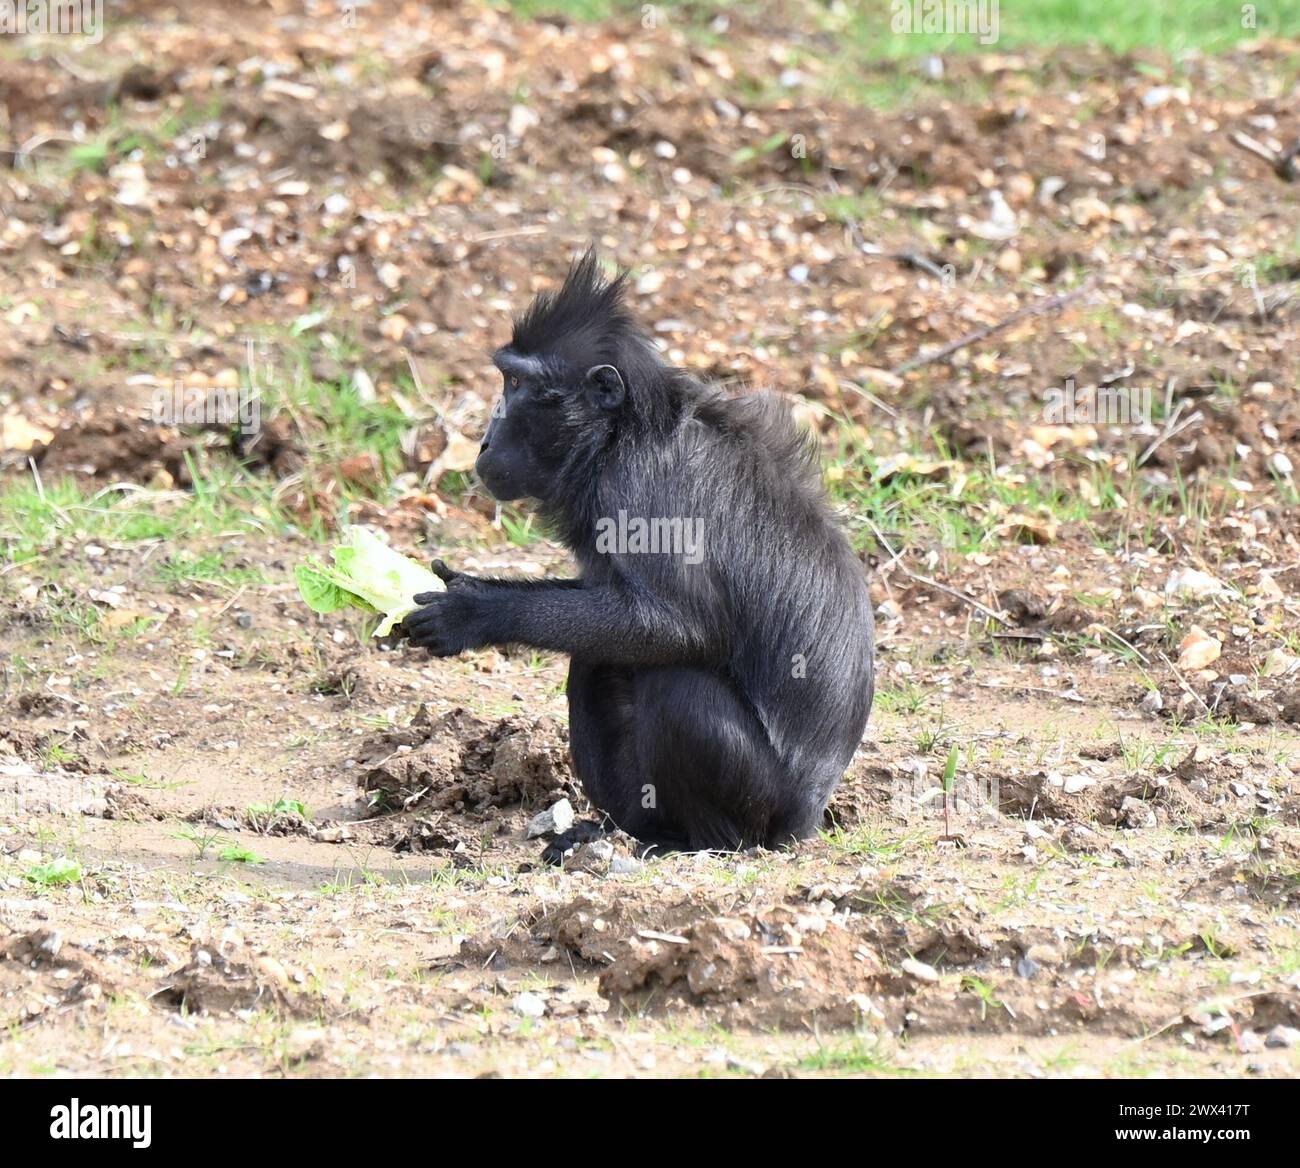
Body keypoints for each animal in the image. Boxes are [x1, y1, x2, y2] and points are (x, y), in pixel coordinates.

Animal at [401, 252, 874, 861]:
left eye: (517, 383)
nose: (483, 440)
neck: (619, 432)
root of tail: (806, 818)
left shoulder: (636, 488)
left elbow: (677, 626)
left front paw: (474, 612)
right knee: (595, 660)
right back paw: (624, 829)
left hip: (762, 799)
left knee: (673, 681)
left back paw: (696, 844)